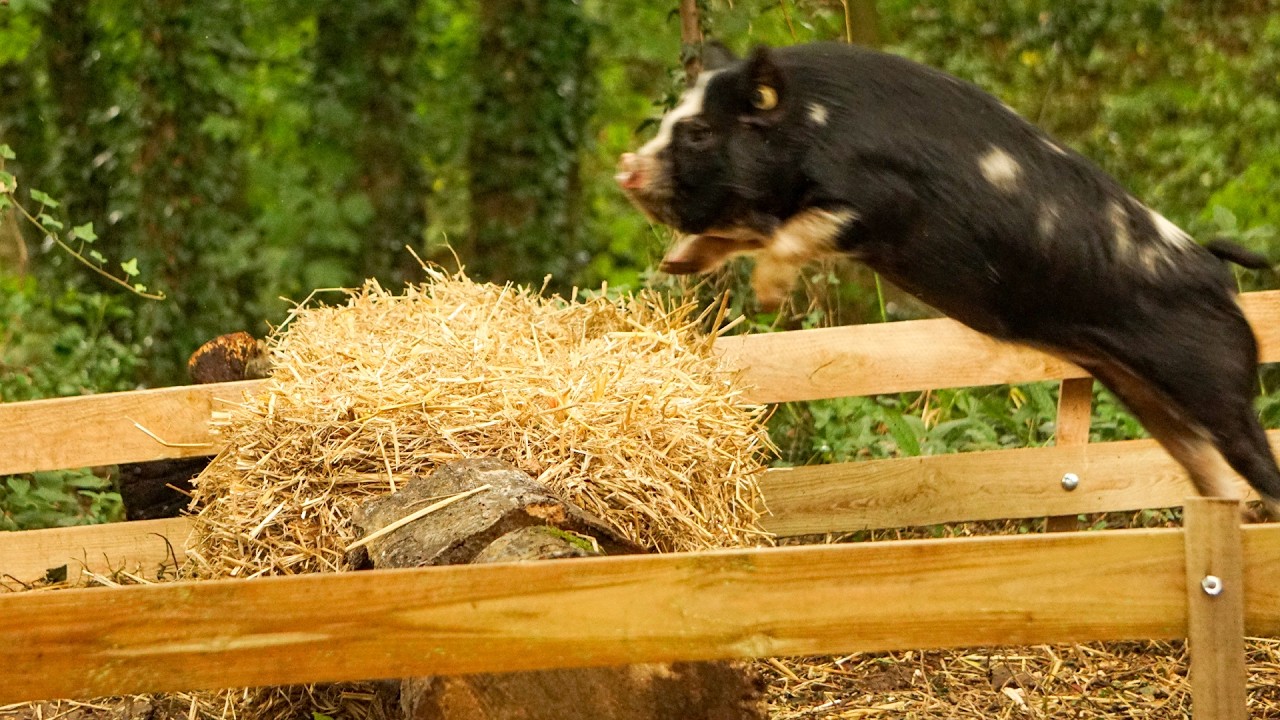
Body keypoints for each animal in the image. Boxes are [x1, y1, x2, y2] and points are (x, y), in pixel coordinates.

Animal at [615, 41, 1280, 515]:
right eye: (674, 119)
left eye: (700, 131)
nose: (625, 169)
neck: (816, 123)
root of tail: (1217, 274)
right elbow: (747, 233)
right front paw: (679, 262)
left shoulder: (877, 204)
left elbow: (794, 235)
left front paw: (767, 292)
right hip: (1147, 396)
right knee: (1211, 474)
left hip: (1217, 387)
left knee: (1257, 466)